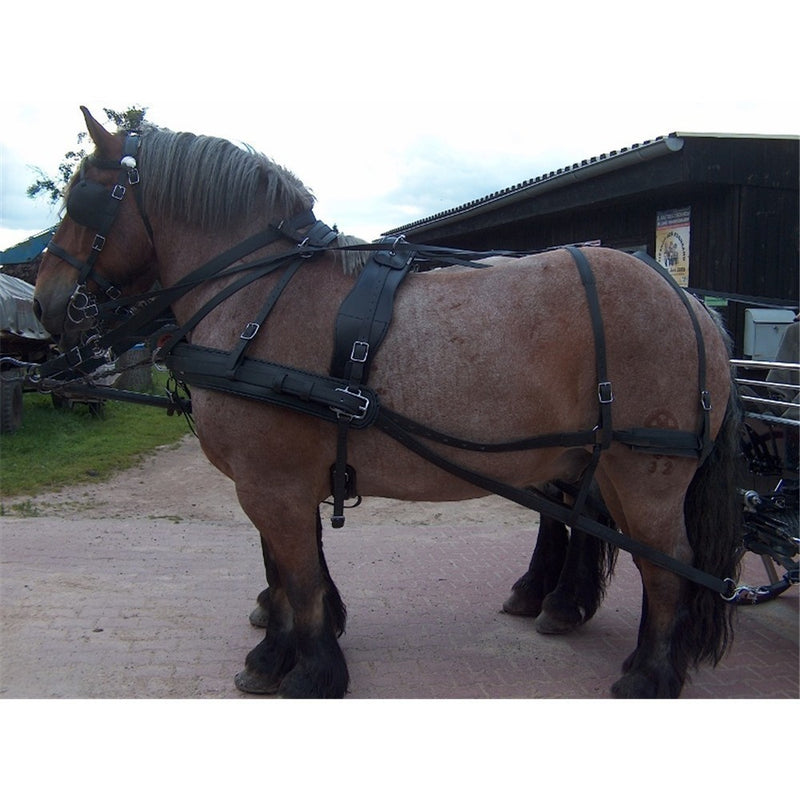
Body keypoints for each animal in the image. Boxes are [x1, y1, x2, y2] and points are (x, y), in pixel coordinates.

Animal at [34, 107, 742, 698]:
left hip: (644, 476)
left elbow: (299, 578)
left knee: (669, 566)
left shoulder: (272, 483)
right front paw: (282, 651)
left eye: (83, 197)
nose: (44, 303)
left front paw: (307, 669)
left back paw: (648, 675)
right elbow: (290, 573)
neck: (258, 299)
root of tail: (691, 303)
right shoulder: (281, 483)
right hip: (596, 465)